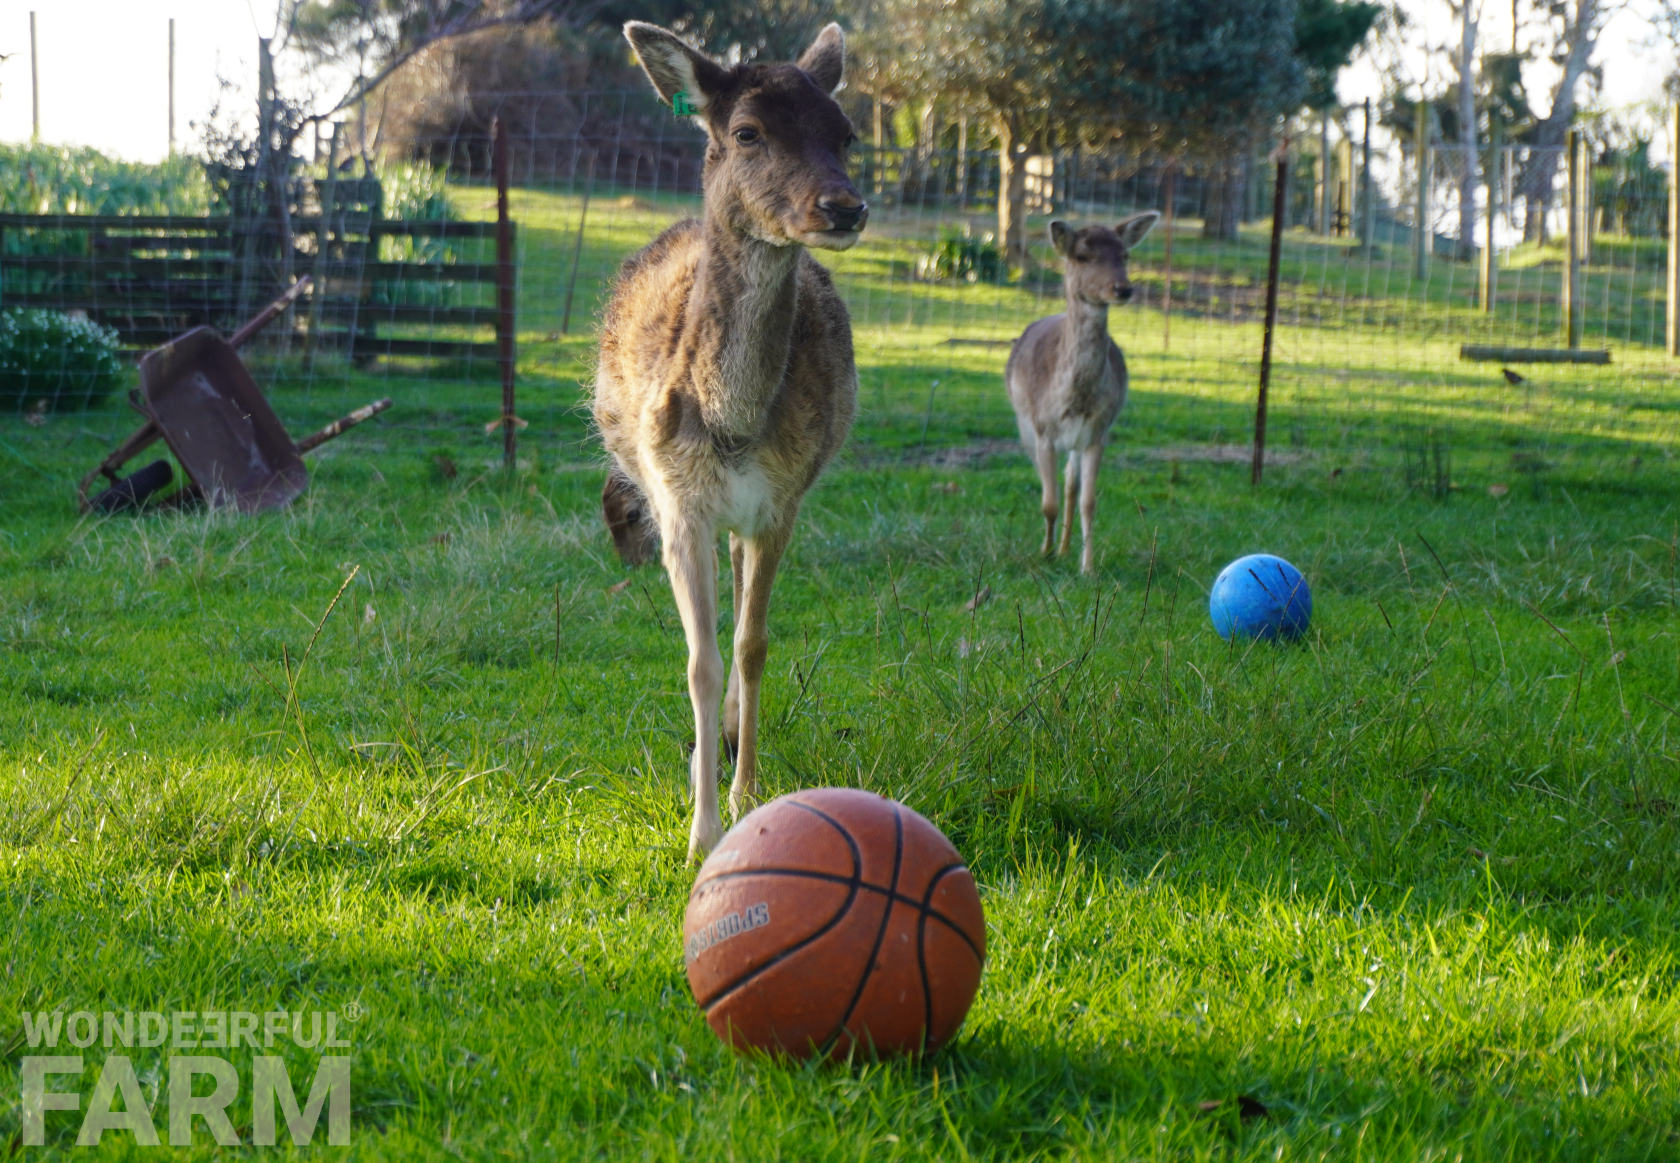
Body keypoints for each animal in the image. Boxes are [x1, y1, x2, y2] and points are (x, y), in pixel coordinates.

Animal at [593, 20, 866, 861]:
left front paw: (744, 794)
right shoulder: (679, 504)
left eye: (845, 132)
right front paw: (700, 831)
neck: (735, 425)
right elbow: (702, 661)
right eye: (747, 132)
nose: (844, 206)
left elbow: (752, 645)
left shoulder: (780, 504)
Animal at [1004, 213, 1159, 575]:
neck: (1075, 399)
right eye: (1082, 256)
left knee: (1071, 485)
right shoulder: (1042, 429)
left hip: (1074, 441)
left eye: (1125, 255)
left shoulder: (1098, 432)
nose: (1123, 288)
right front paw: (1043, 553)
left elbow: (1088, 501)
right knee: (1051, 484)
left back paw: (1065, 548)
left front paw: (1086, 568)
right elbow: (1047, 502)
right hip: (1023, 425)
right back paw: (1054, 548)